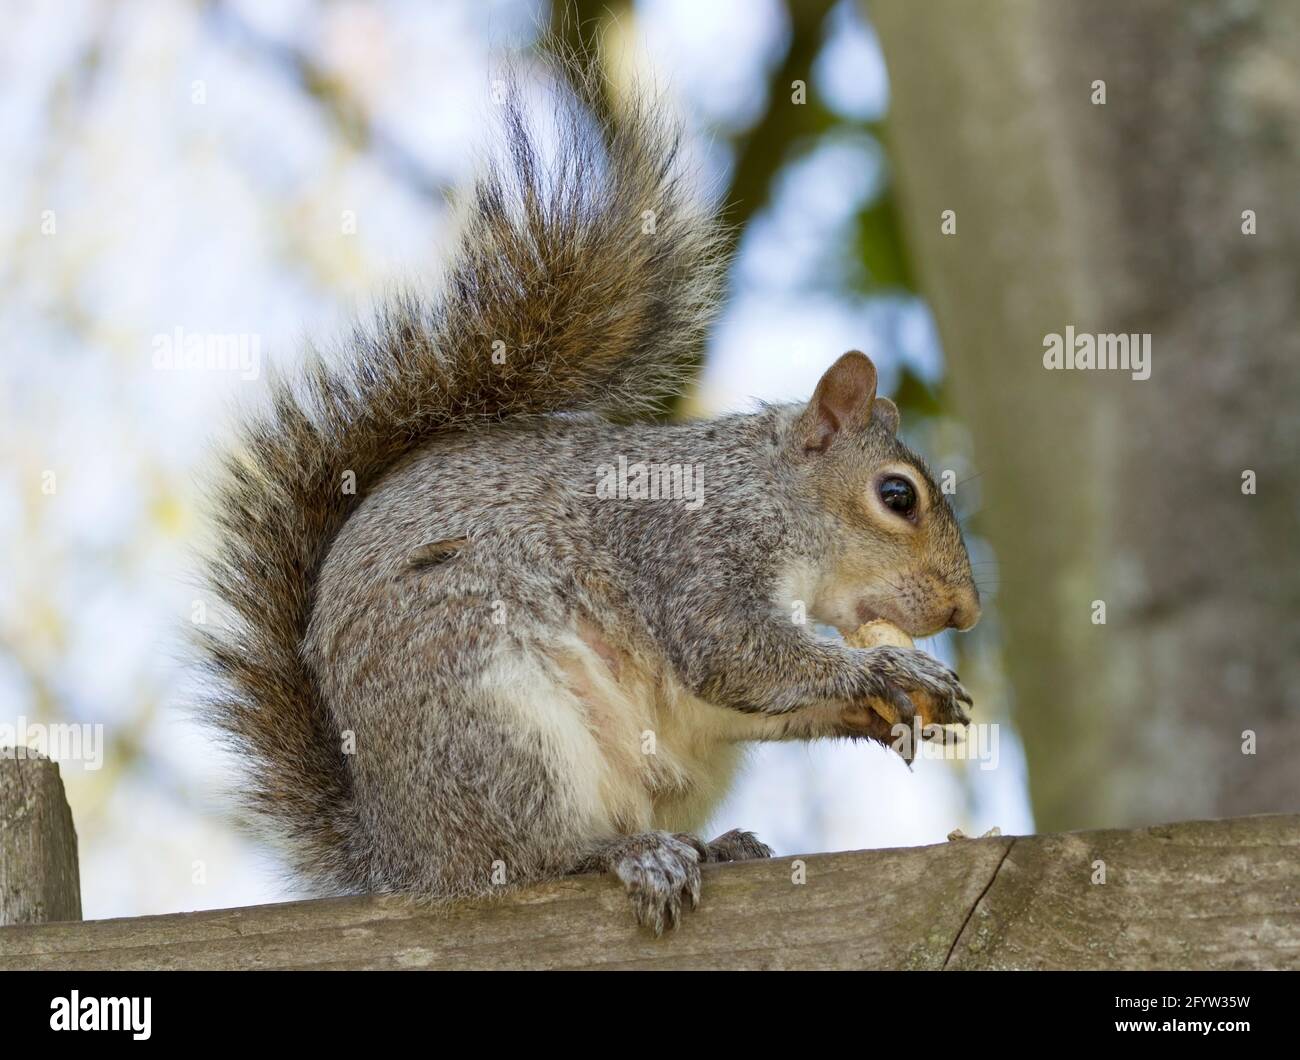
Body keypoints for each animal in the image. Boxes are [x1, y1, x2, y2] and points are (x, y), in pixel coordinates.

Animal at [197, 61, 980, 935]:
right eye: (897, 496)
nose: (964, 612)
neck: (764, 489)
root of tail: (405, 857)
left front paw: (889, 706)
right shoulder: (691, 552)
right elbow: (736, 651)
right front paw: (887, 667)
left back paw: (714, 846)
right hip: (499, 725)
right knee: (532, 860)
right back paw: (627, 855)